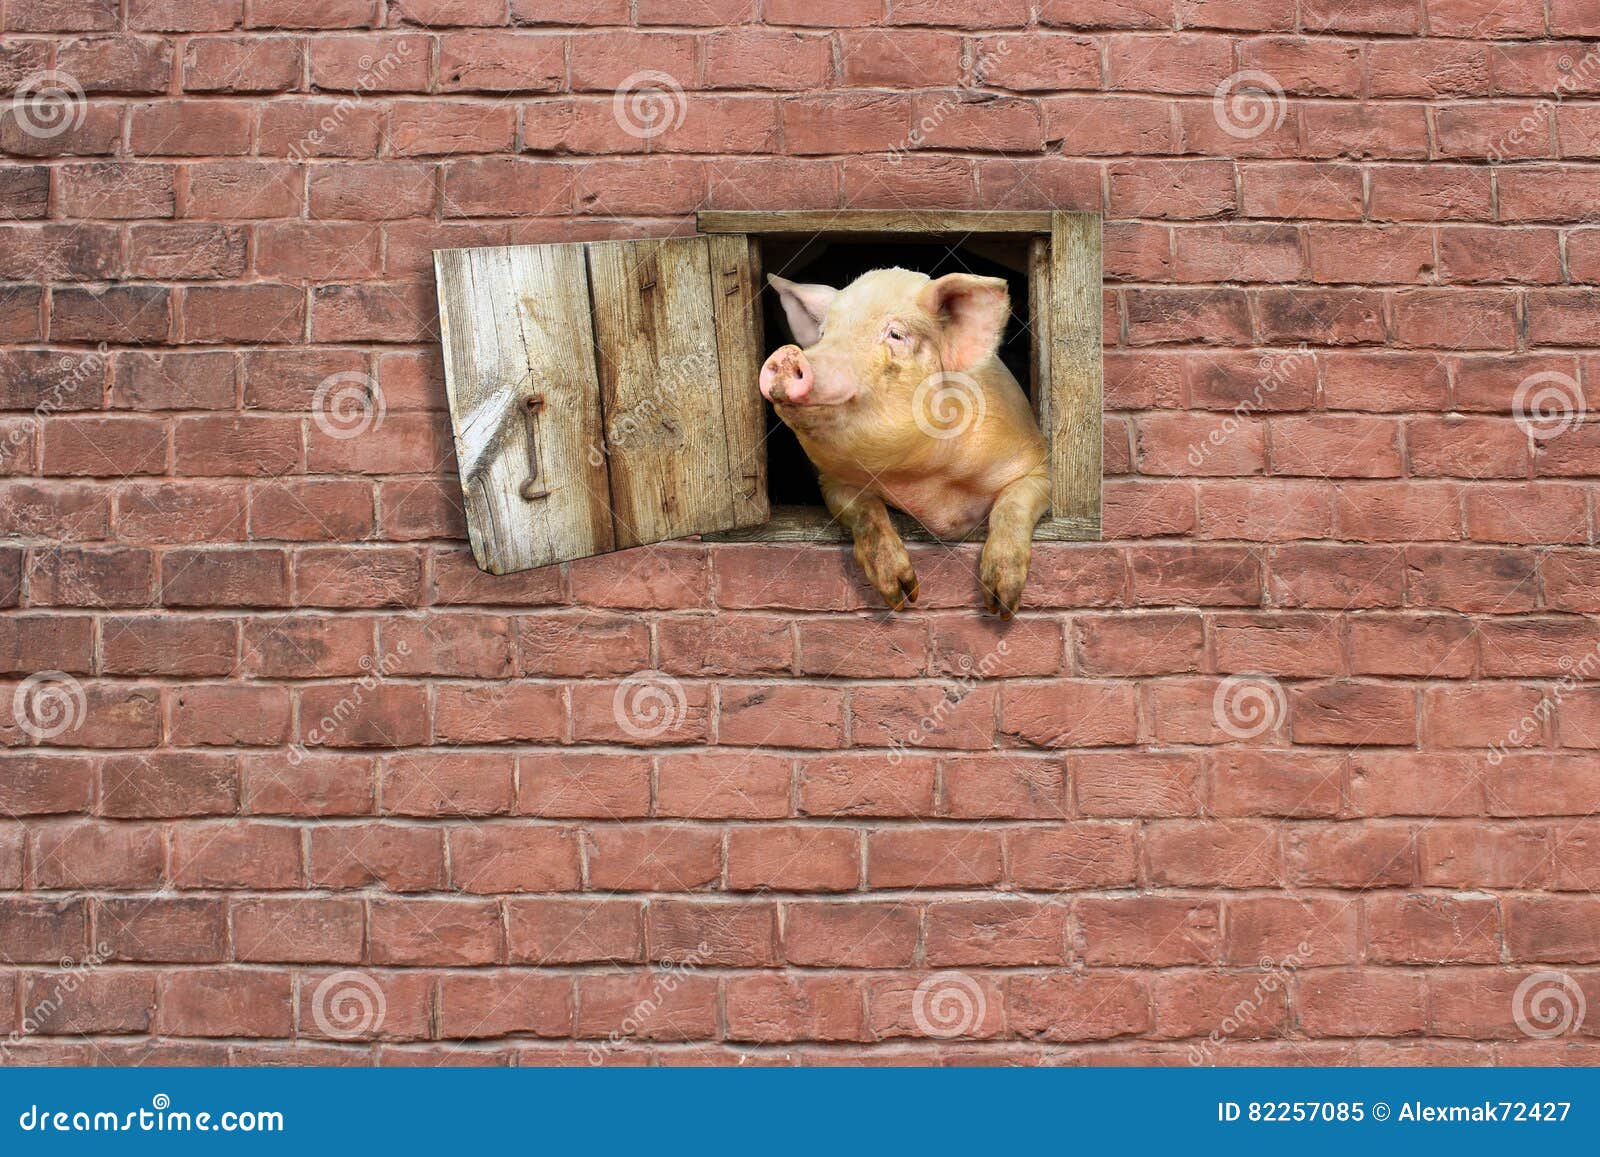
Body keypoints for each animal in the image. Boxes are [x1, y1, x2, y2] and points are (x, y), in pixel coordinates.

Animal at [759, 267, 1049, 618]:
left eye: (896, 335)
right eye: (825, 332)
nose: (788, 355)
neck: (928, 484)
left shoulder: (1036, 463)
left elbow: (1012, 504)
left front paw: (1001, 605)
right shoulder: (832, 481)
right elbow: (864, 510)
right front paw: (903, 596)